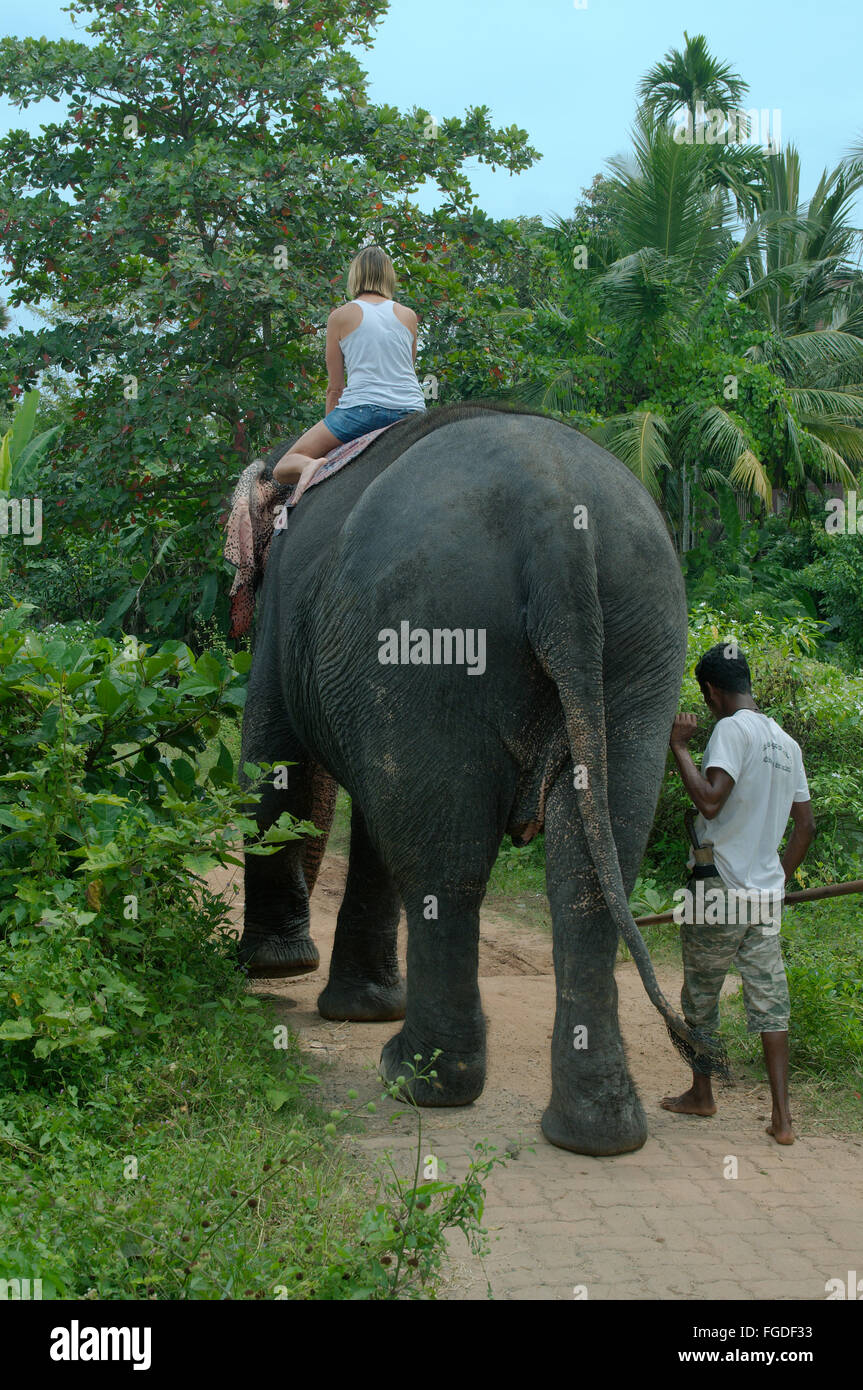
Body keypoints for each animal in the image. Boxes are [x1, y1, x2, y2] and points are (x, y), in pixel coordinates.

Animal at [236, 401, 717, 1156]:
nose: (288, 960)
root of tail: (556, 514)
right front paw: (335, 996)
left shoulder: (281, 607)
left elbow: (271, 764)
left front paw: (273, 970)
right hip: (644, 641)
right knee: (587, 862)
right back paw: (598, 1133)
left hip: (431, 624)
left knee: (446, 861)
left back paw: (417, 1082)